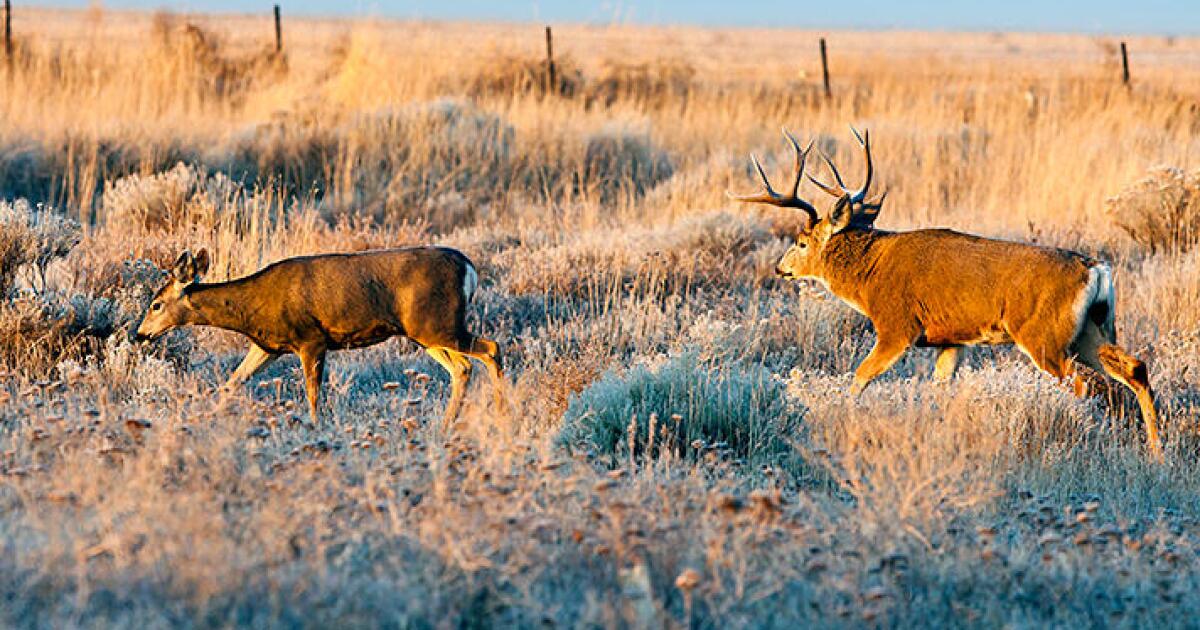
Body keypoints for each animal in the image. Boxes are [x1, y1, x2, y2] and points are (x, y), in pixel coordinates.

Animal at [133, 247, 505, 425]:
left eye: (155, 304)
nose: (139, 335)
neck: (253, 307)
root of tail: (469, 268)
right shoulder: (268, 346)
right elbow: (232, 382)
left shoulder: (311, 339)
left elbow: (313, 394)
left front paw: (317, 428)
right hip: (425, 332)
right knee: (463, 367)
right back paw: (446, 425)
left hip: (438, 323)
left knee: (491, 349)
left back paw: (503, 415)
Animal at [730, 127, 1162, 455]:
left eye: (802, 242)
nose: (780, 267)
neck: (869, 275)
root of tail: (1096, 269)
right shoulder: (951, 341)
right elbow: (940, 387)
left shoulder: (897, 327)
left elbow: (859, 377)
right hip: (1088, 330)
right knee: (1134, 368)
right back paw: (1157, 452)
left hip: (1044, 336)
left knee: (1080, 384)